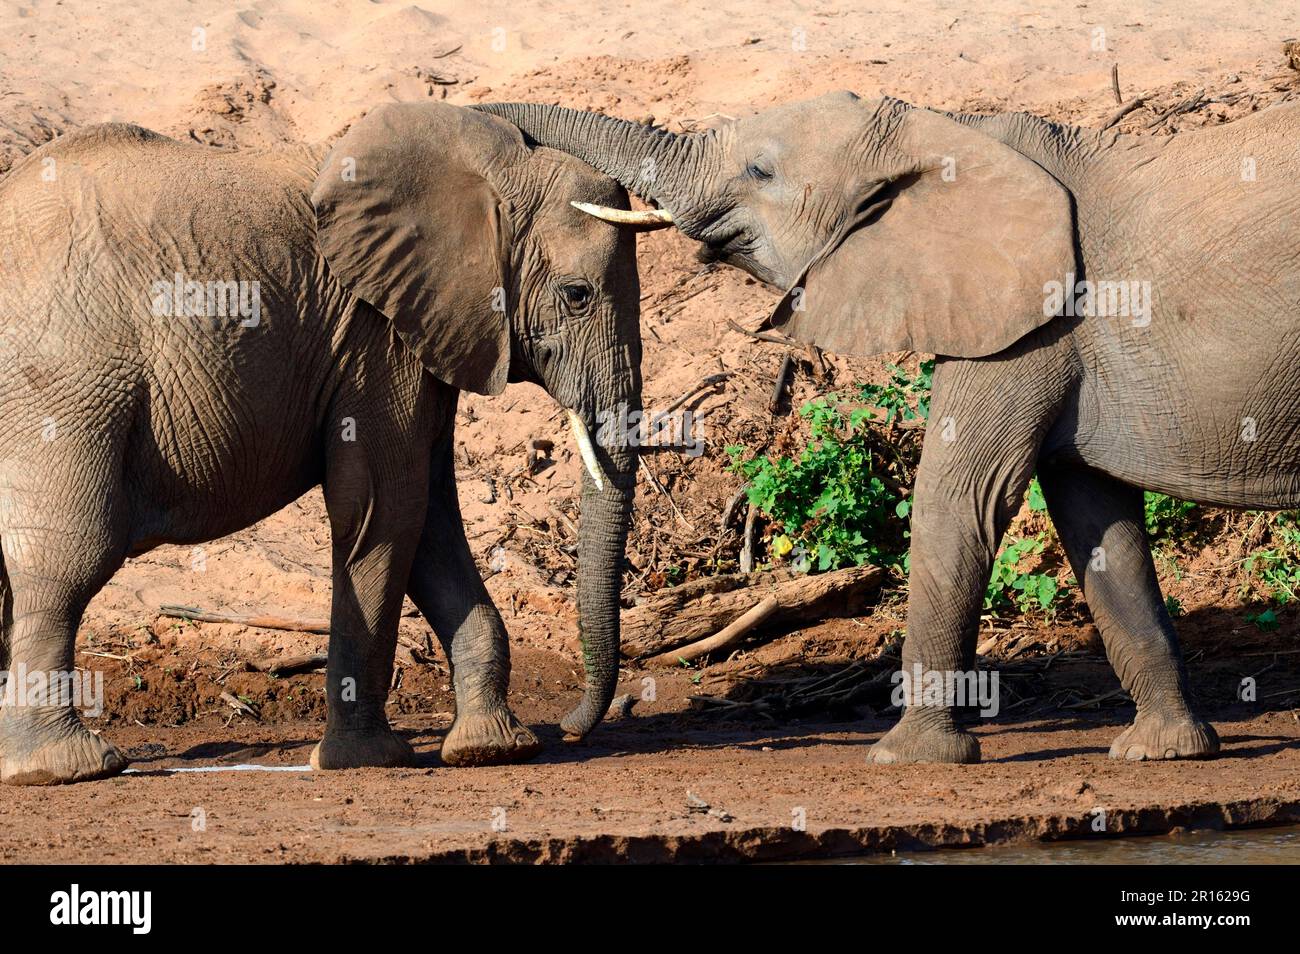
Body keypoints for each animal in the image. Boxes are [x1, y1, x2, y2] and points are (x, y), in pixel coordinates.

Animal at [0, 100, 666, 785]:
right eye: (576, 296)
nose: (571, 726)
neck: (485, 167)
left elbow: (429, 521)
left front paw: (491, 750)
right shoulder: (374, 338)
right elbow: (386, 510)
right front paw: (369, 760)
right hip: (64, 386)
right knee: (68, 557)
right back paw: (66, 767)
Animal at [477, 93, 1300, 763]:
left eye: (760, 170)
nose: (569, 731)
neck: (944, 133)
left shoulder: (1032, 321)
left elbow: (959, 497)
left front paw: (908, 758)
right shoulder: (1048, 332)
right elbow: (1097, 521)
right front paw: (1164, 752)